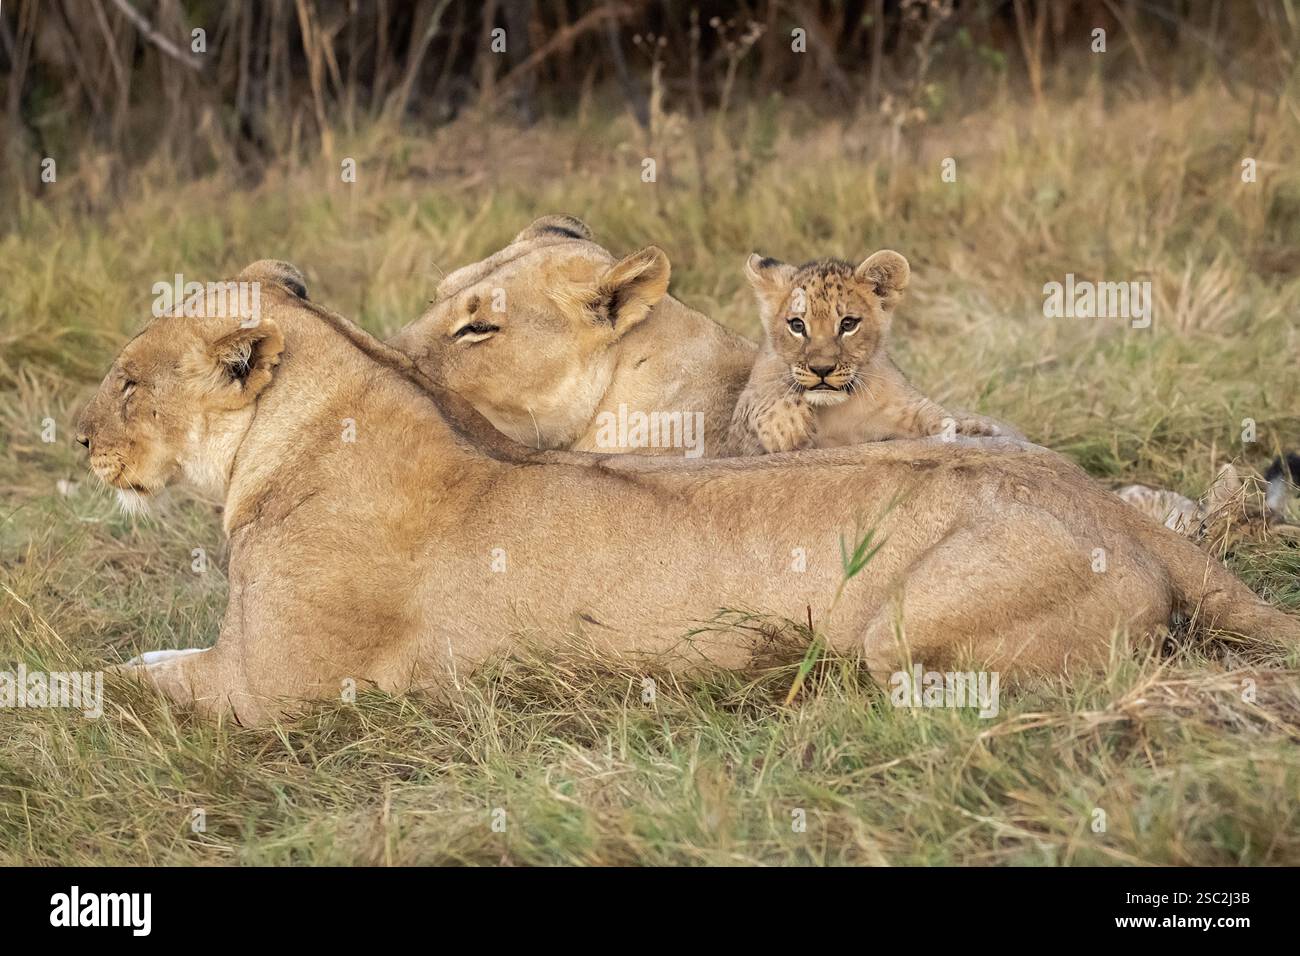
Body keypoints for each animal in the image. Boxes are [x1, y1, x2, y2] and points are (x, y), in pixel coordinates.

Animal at [731, 252, 1016, 454]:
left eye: (848, 324)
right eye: (797, 325)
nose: (822, 369)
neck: (838, 410)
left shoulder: (905, 409)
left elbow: (937, 417)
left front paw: (976, 430)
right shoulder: (737, 439)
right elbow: (763, 396)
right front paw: (788, 426)